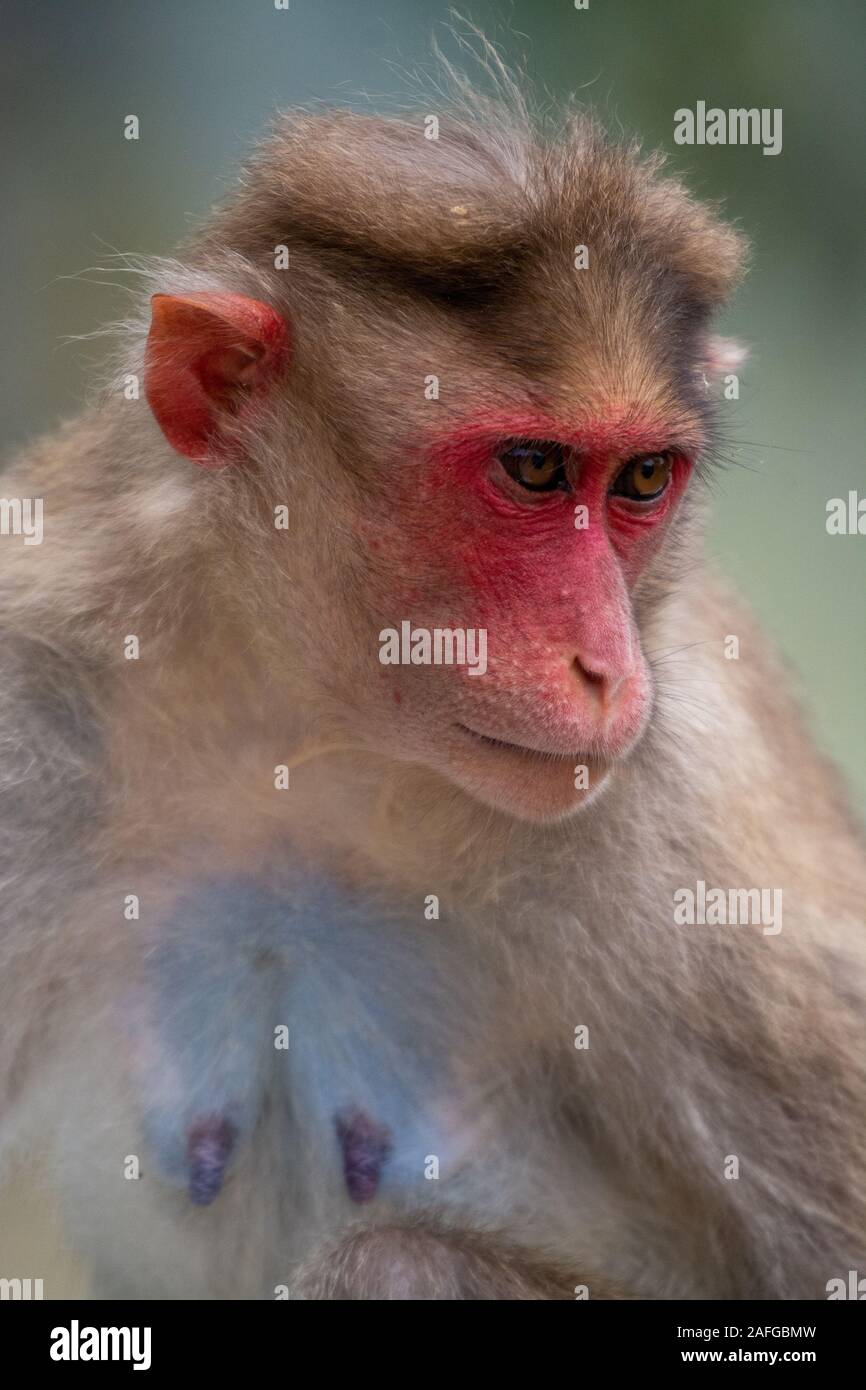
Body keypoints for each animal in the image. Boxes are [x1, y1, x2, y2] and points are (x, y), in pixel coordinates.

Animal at [0, 68, 865, 1302]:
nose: (608, 666)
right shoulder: (26, 701)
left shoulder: (703, 820)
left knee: (394, 1261)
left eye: (643, 478)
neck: (307, 741)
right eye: (534, 469)